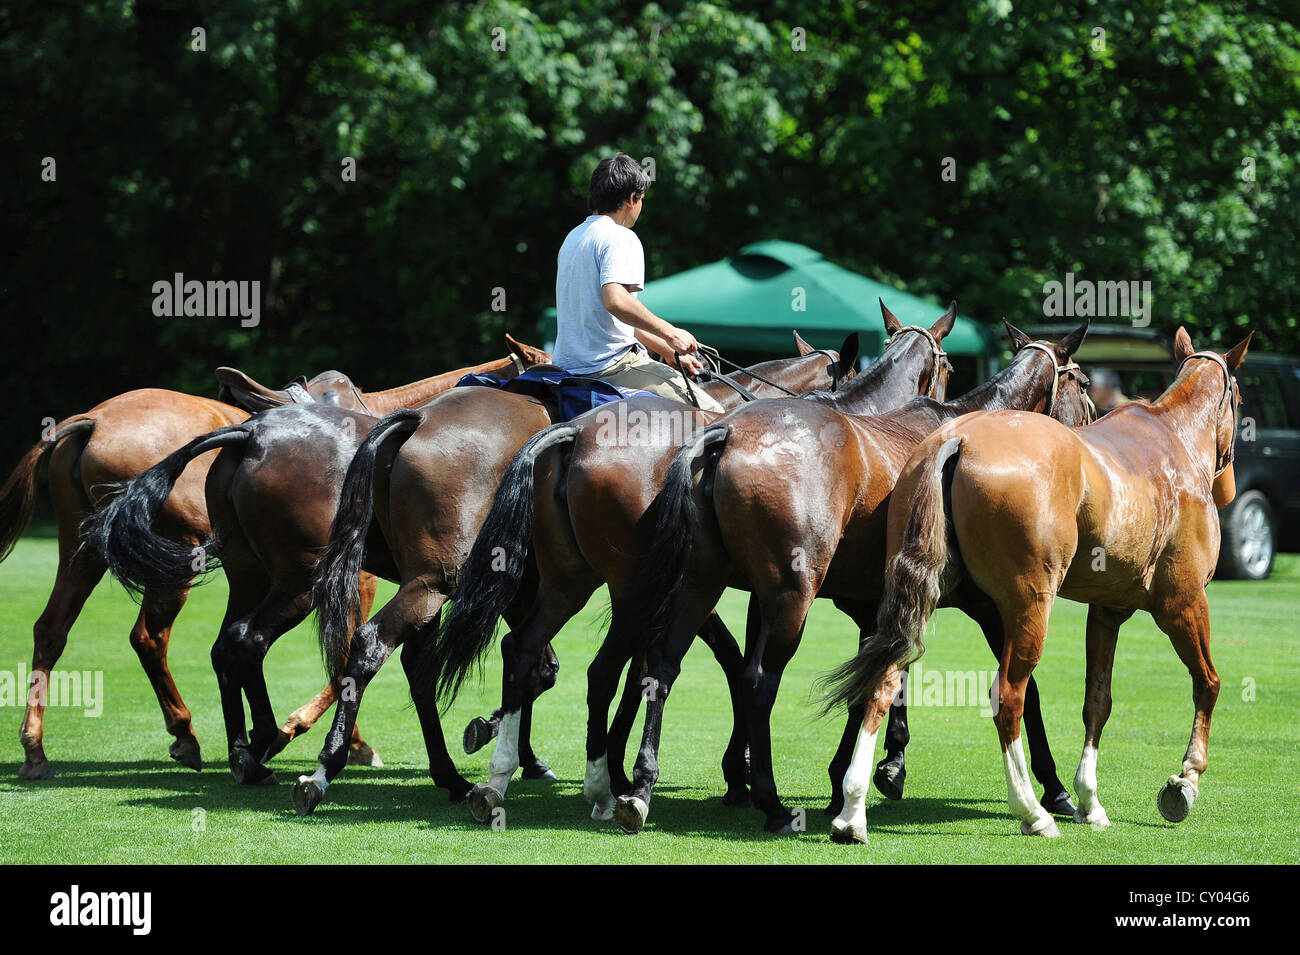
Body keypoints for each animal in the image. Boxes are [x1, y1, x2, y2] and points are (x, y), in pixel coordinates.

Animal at [69, 336, 548, 783]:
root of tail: (250, 436)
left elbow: (532, 663)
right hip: (304, 583)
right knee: (245, 640)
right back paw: (262, 740)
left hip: (250, 575)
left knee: (224, 645)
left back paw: (244, 751)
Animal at [297, 338, 852, 815]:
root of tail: (419, 417)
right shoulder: (677, 588)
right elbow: (707, 664)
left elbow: (552, 666)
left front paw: (510, 740)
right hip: (437, 580)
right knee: (377, 647)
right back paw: (333, 767)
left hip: (441, 581)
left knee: (416, 660)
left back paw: (442, 773)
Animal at [429, 302, 951, 826]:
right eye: (947, 368)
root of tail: (575, 432)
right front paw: (883, 763)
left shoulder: (744, 591)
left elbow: (701, 665)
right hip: (626, 586)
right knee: (587, 667)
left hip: (571, 579)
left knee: (526, 648)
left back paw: (504, 771)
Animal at [620, 321, 1094, 834]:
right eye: (1085, 384)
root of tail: (726, 432)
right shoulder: (988, 604)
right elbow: (1025, 690)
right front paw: (1055, 788)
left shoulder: (875, 604)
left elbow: (872, 677)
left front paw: (859, 774)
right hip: (791, 595)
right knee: (757, 681)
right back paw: (770, 802)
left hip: (700, 582)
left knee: (662, 666)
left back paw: (641, 787)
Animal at [821, 327, 1249, 842]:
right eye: (1240, 398)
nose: (1229, 479)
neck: (1173, 441)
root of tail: (957, 438)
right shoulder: (1183, 603)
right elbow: (1208, 683)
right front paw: (1185, 780)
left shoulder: (1106, 612)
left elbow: (1097, 702)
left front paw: (1090, 800)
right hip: (1030, 607)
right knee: (1008, 697)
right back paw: (1031, 809)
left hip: (915, 601)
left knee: (884, 680)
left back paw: (852, 808)